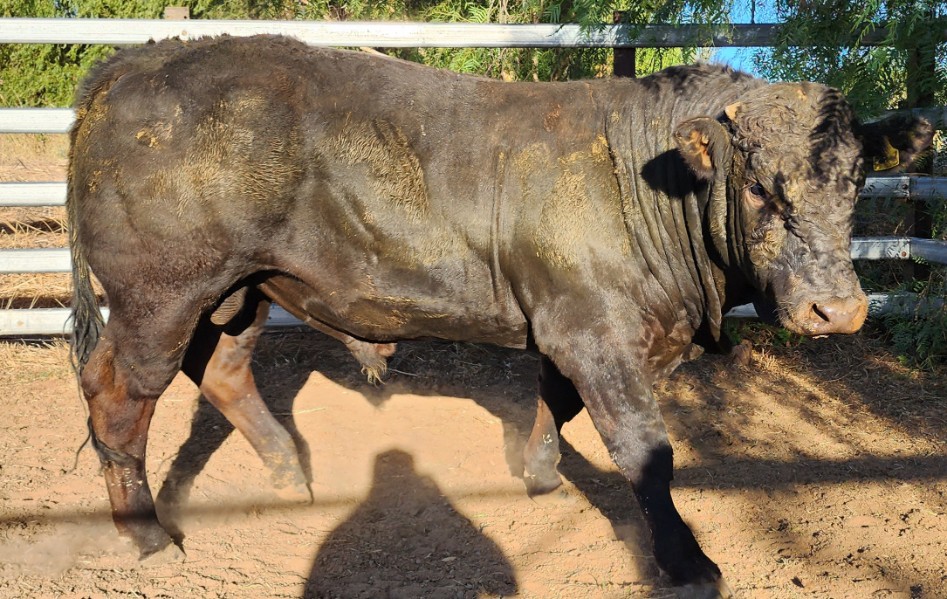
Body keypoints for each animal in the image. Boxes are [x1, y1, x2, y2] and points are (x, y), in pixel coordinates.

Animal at [68, 35, 932, 597]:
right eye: (756, 185)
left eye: (857, 180)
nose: (836, 309)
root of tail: (134, 60)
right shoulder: (595, 333)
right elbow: (643, 450)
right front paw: (687, 563)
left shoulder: (570, 327)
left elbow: (555, 401)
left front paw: (538, 471)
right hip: (159, 294)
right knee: (118, 395)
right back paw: (147, 533)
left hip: (243, 289)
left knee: (222, 371)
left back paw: (290, 472)